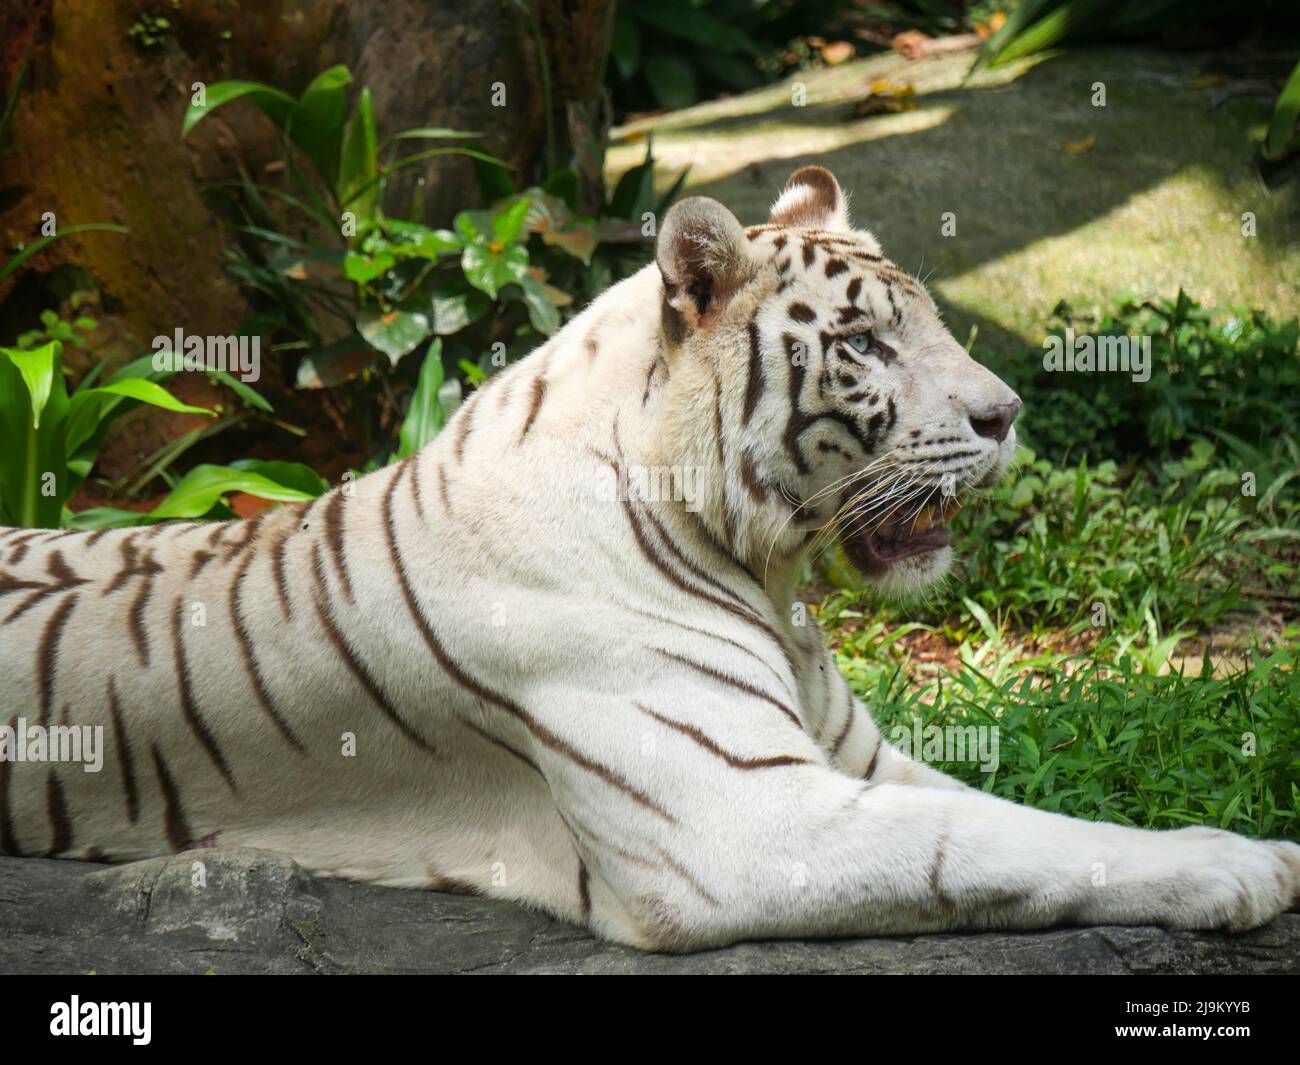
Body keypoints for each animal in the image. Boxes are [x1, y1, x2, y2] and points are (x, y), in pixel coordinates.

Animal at [1, 166, 1296, 952]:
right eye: (866, 343)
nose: (1008, 414)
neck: (770, 577)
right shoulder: (735, 822)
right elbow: (993, 846)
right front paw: (1241, 866)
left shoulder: (855, 762)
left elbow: (1018, 814)